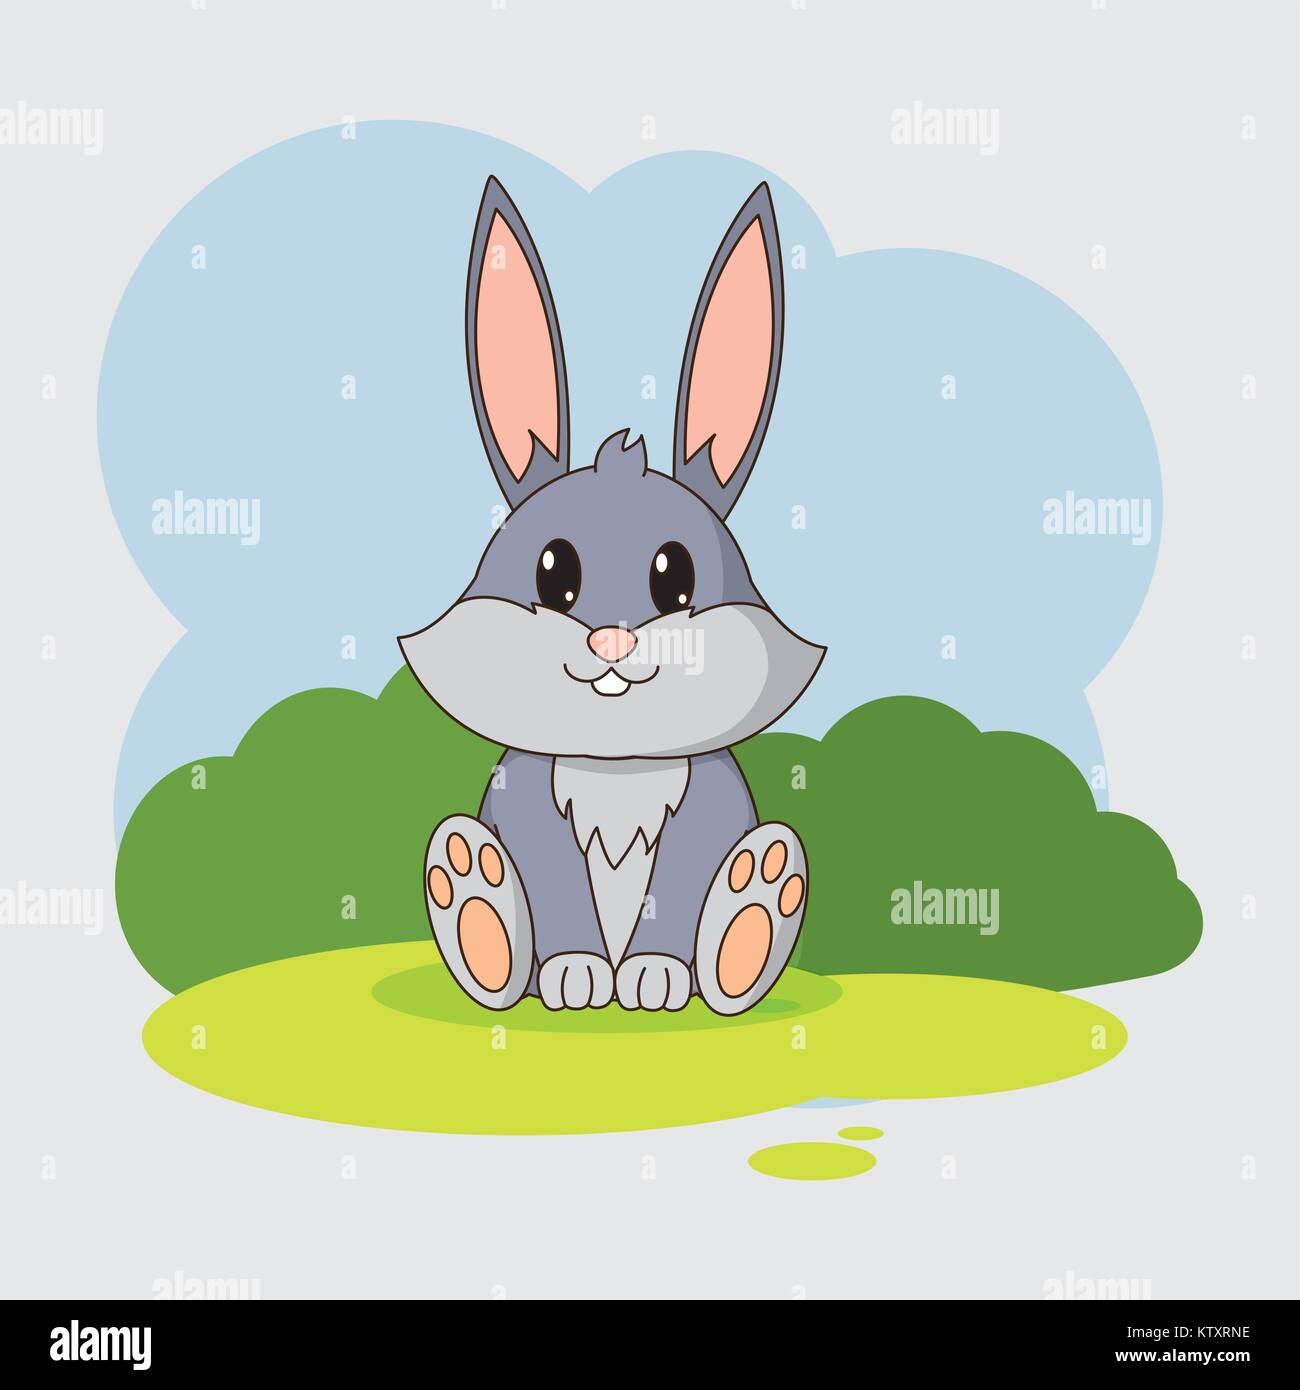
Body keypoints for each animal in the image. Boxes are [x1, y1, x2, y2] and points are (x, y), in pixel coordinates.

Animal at [399, 176, 824, 1014]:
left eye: (676, 576)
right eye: (553, 572)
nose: (612, 640)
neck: (617, 764)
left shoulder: (707, 794)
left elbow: (683, 877)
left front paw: (655, 978)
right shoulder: (529, 790)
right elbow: (554, 876)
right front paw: (577, 976)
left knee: (745, 878)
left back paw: (754, 913)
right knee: (489, 884)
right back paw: (475, 904)